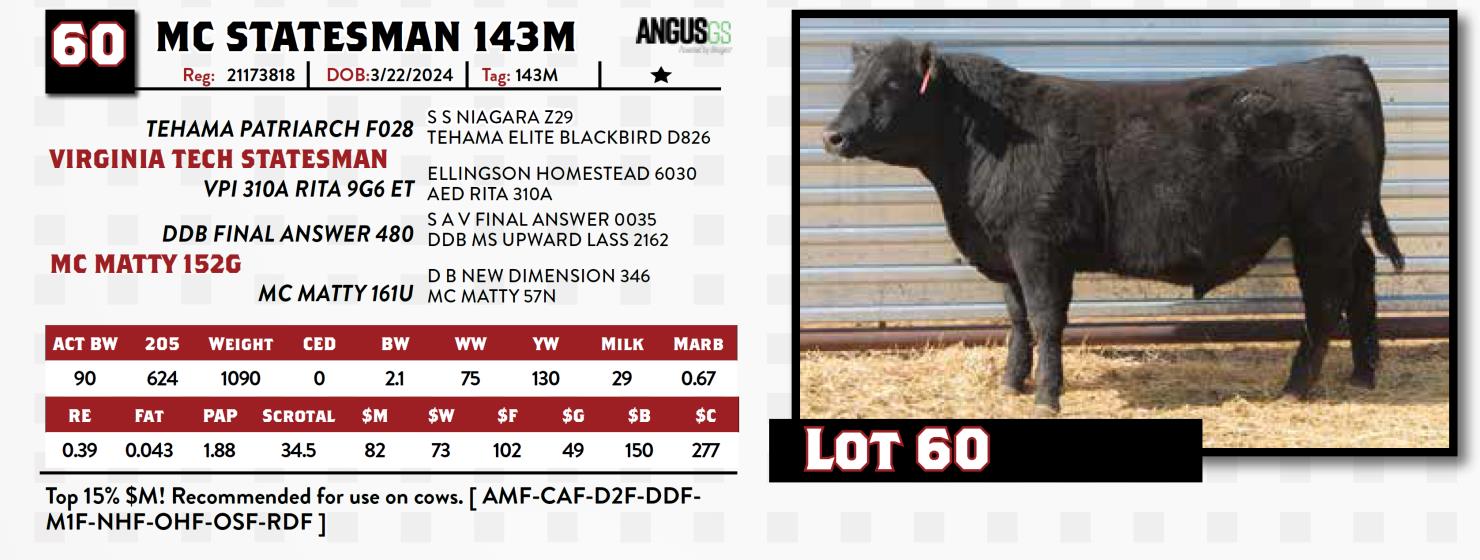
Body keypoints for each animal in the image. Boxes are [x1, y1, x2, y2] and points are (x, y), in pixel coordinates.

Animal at [822, 39, 1404, 415]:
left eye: (891, 83)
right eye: (853, 81)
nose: (832, 135)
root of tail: (1342, 65)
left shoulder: (1038, 247)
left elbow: (1045, 320)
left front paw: (1047, 397)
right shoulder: (1005, 251)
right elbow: (1017, 319)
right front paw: (1012, 383)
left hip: (1321, 227)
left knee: (1326, 299)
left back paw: (1297, 386)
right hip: (1343, 227)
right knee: (1363, 277)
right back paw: (1363, 373)